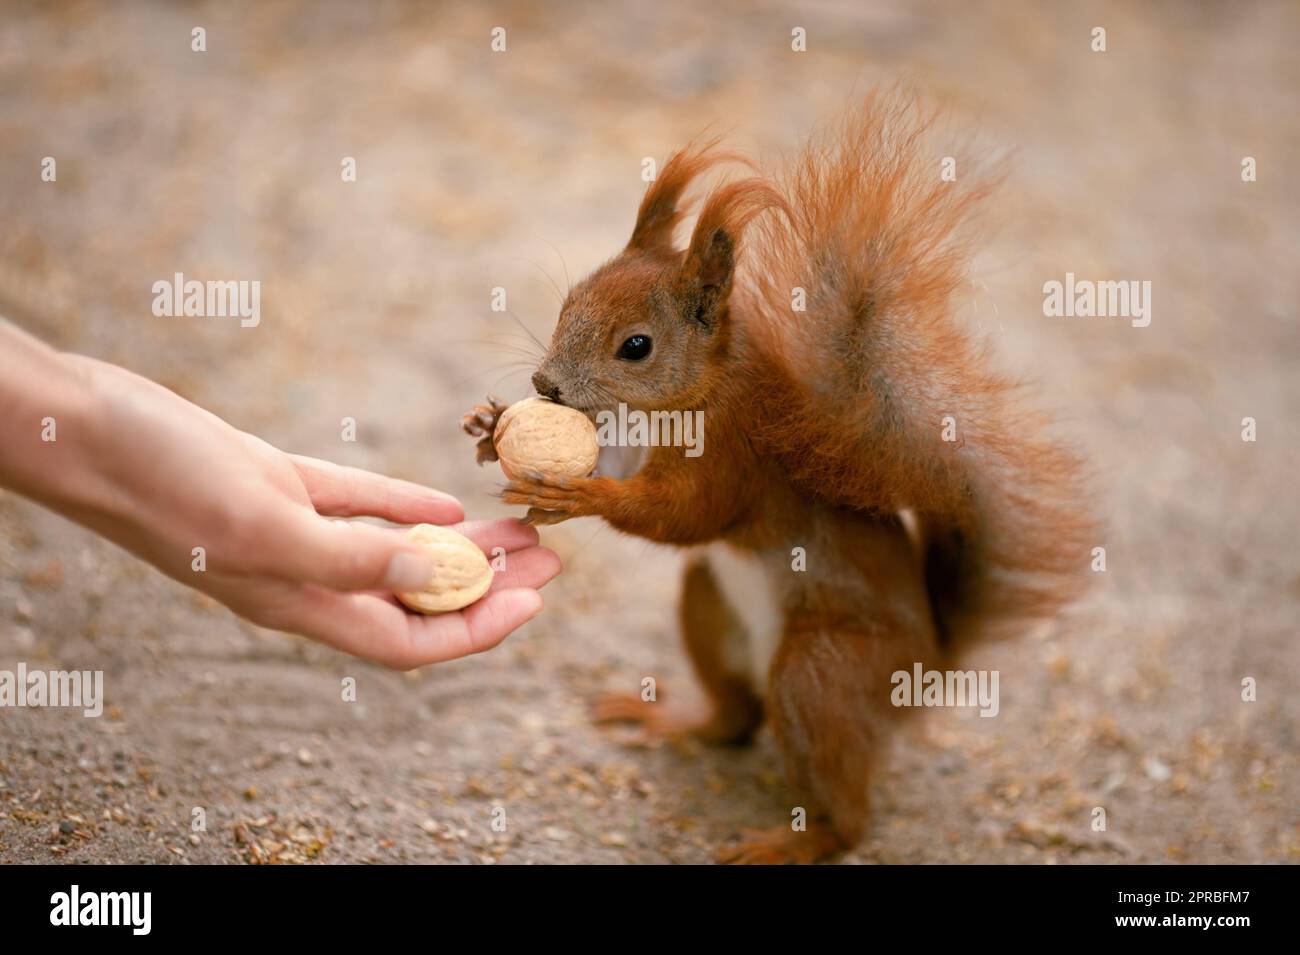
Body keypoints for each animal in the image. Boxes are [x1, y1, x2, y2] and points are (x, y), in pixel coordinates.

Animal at [463, 90, 1094, 864]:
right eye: (567, 302)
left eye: (636, 346)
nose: (543, 385)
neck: (687, 398)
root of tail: (927, 668)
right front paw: (492, 427)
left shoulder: (733, 455)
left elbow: (683, 515)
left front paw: (579, 493)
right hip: (709, 604)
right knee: (735, 719)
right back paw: (673, 717)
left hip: (821, 676)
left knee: (847, 812)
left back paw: (788, 841)